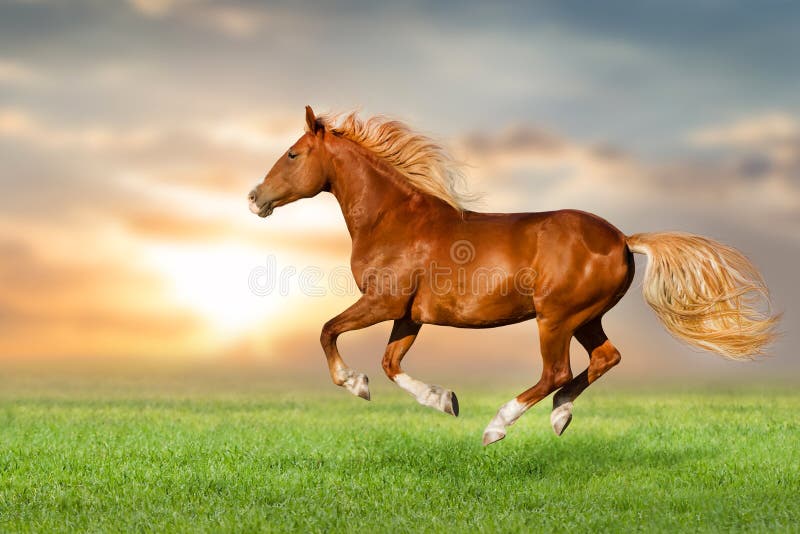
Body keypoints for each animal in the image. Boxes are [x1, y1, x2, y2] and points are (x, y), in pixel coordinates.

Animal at [248, 106, 779, 446]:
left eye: (293, 154)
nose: (255, 198)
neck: (394, 219)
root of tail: (623, 239)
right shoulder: (409, 315)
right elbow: (391, 363)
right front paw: (445, 400)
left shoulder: (383, 303)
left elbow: (328, 331)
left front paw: (354, 384)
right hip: (585, 317)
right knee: (605, 358)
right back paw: (560, 416)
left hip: (555, 318)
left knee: (556, 371)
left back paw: (497, 426)